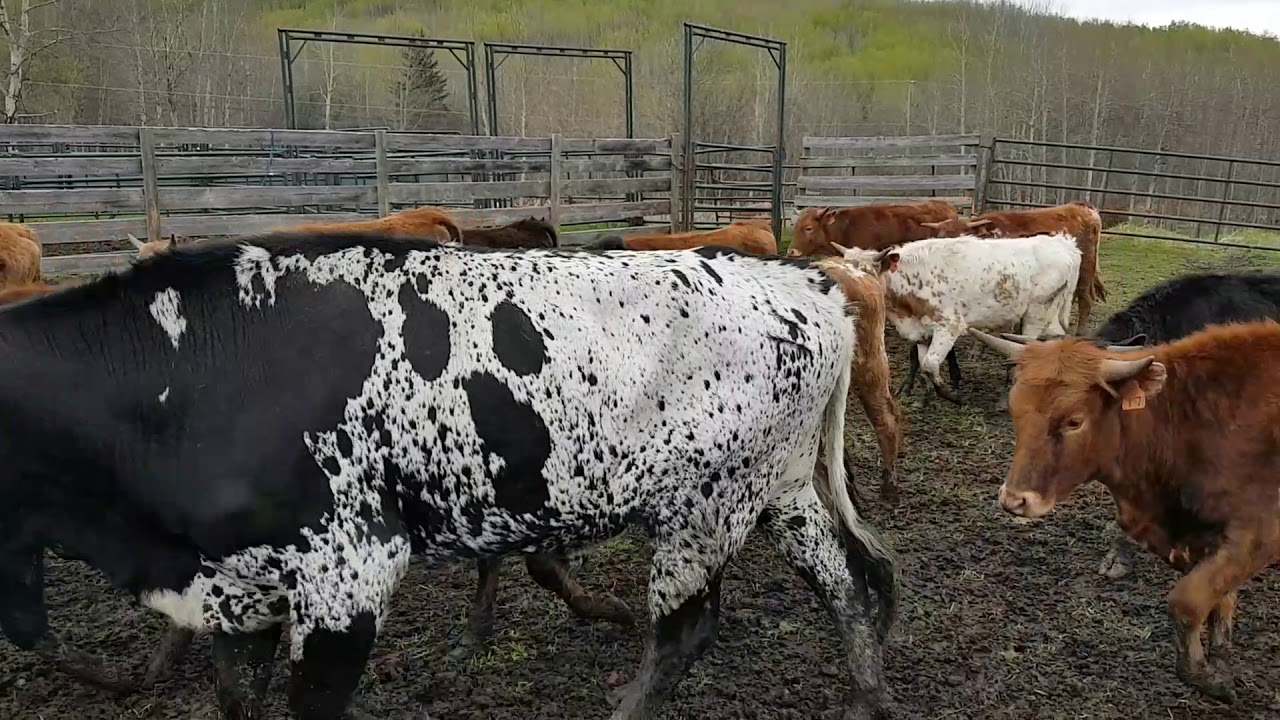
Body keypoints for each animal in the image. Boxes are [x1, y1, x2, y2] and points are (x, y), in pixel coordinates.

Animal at [0, 233, 897, 720]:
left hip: (704, 509)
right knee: (847, 583)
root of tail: (804, 280)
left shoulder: (348, 576)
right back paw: (866, 694)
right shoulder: (240, 590)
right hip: (780, 490)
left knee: (685, 632)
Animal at [840, 234, 1081, 405]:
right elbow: (924, 366)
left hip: (1037, 313)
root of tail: (1065, 244)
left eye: (867, 272)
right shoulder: (921, 331)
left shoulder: (949, 327)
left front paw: (952, 395)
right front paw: (925, 398)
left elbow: (929, 364)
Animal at [968, 321, 1280, 705]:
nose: (1014, 500)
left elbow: (1187, 601)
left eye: (1074, 422)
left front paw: (1205, 676)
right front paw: (1220, 661)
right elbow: (1220, 600)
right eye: (1015, 411)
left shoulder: (1257, 535)